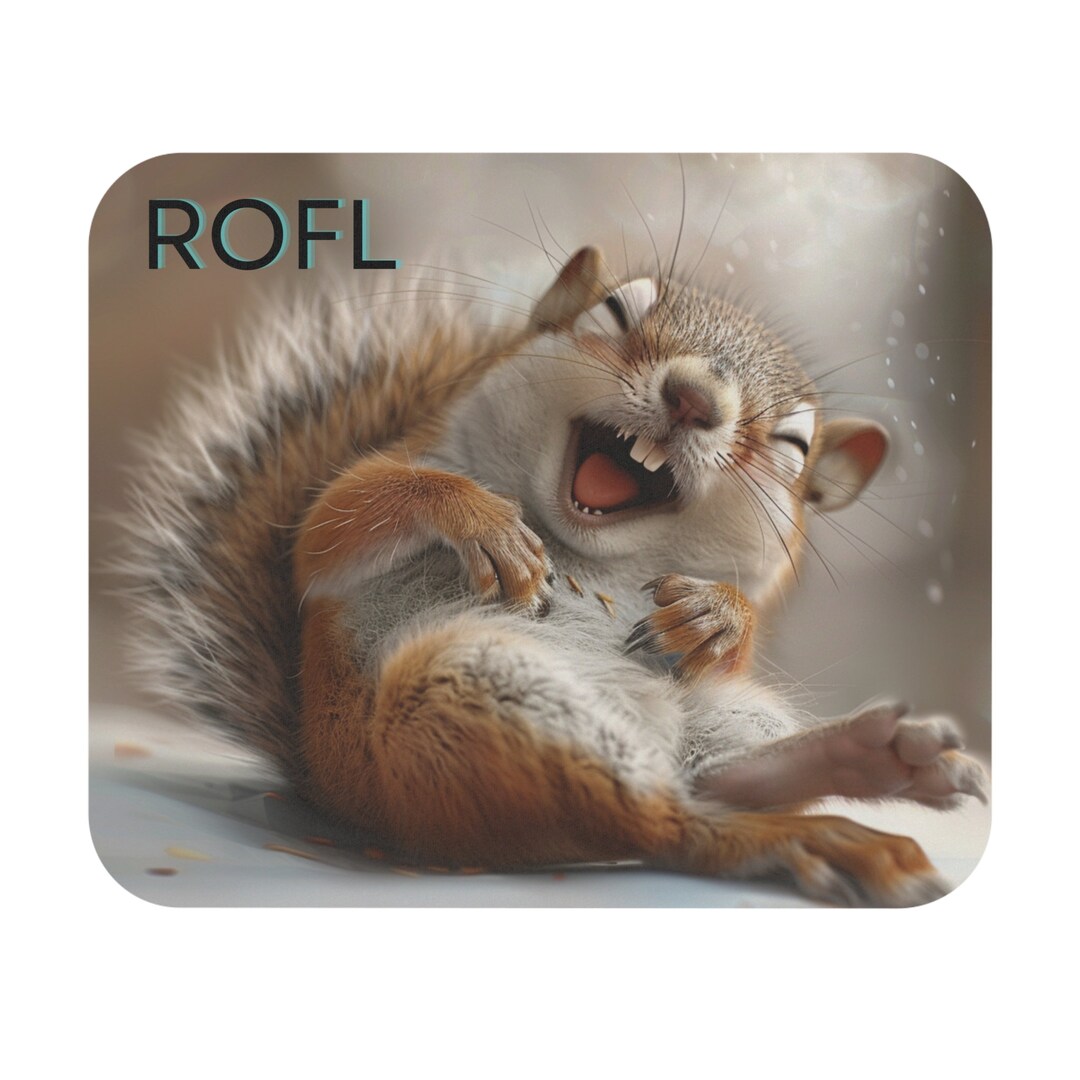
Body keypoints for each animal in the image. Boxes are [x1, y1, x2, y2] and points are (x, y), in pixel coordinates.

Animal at [123, 244, 987, 906]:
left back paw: (869, 761)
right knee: (667, 824)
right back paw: (823, 825)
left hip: (710, 713)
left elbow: (732, 627)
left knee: (708, 791)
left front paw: (716, 615)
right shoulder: (362, 500)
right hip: (463, 694)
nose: (692, 399)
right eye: (613, 313)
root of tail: (358, 802)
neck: (583, 551)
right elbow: (342, 517)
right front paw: (485, 524)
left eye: (793, 447)